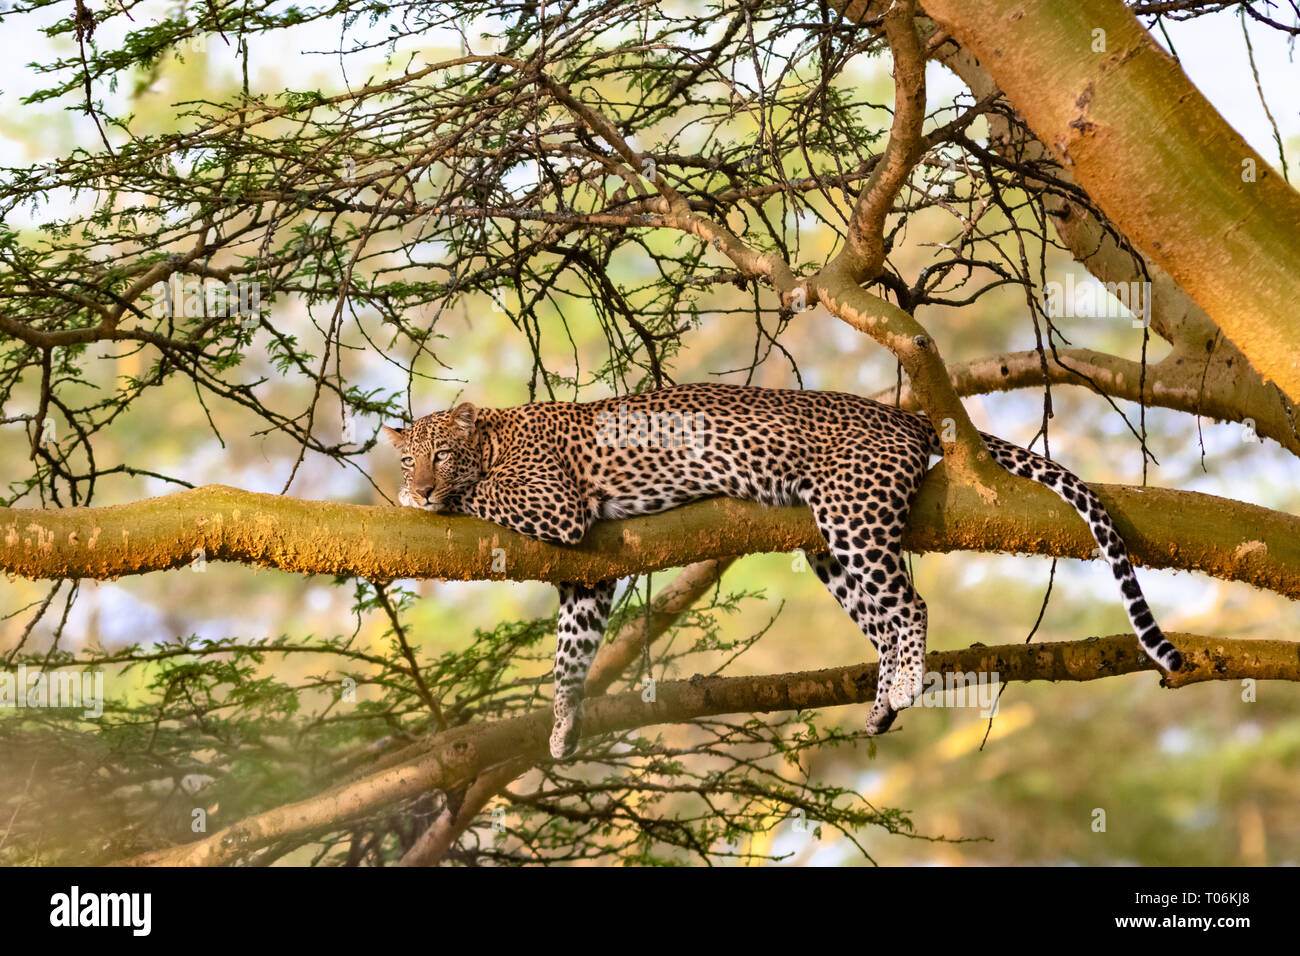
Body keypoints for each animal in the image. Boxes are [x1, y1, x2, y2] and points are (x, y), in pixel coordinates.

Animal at [382, 383, 1182, 760]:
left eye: (440, 456)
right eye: (407, 457)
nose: (414, 487)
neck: (496, 431)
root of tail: (907, 416)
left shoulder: (556, 507)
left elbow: (485, 497)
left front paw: (433, 502)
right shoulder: (587, 571)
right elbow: (569, 654)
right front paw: (562, 727)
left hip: (855, 515)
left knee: (911, 609)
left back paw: (906, 688)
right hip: (832, 545)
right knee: (886, 618)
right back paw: (884, 703)